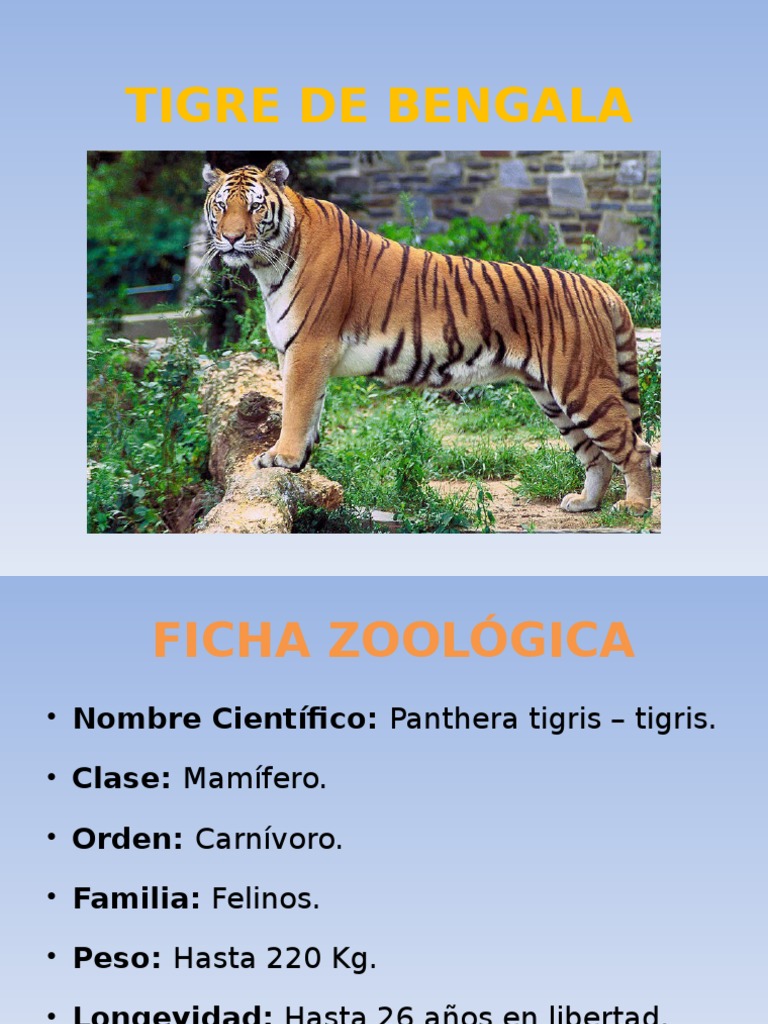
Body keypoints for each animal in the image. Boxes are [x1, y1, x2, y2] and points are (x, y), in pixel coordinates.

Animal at [202, 159, 658, 513]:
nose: (232, 237)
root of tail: (600, 286)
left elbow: (295, 408)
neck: (269, 264)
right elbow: (309, 409)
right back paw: (585, 503)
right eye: (222, 206)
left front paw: (281, 457)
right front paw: (300, 464)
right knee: (597, 455)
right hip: (552, 396)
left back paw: (633, 507)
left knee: (636, 449)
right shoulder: (295, 353)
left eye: (255, 207)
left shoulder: (309, 348)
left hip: (581, 384)